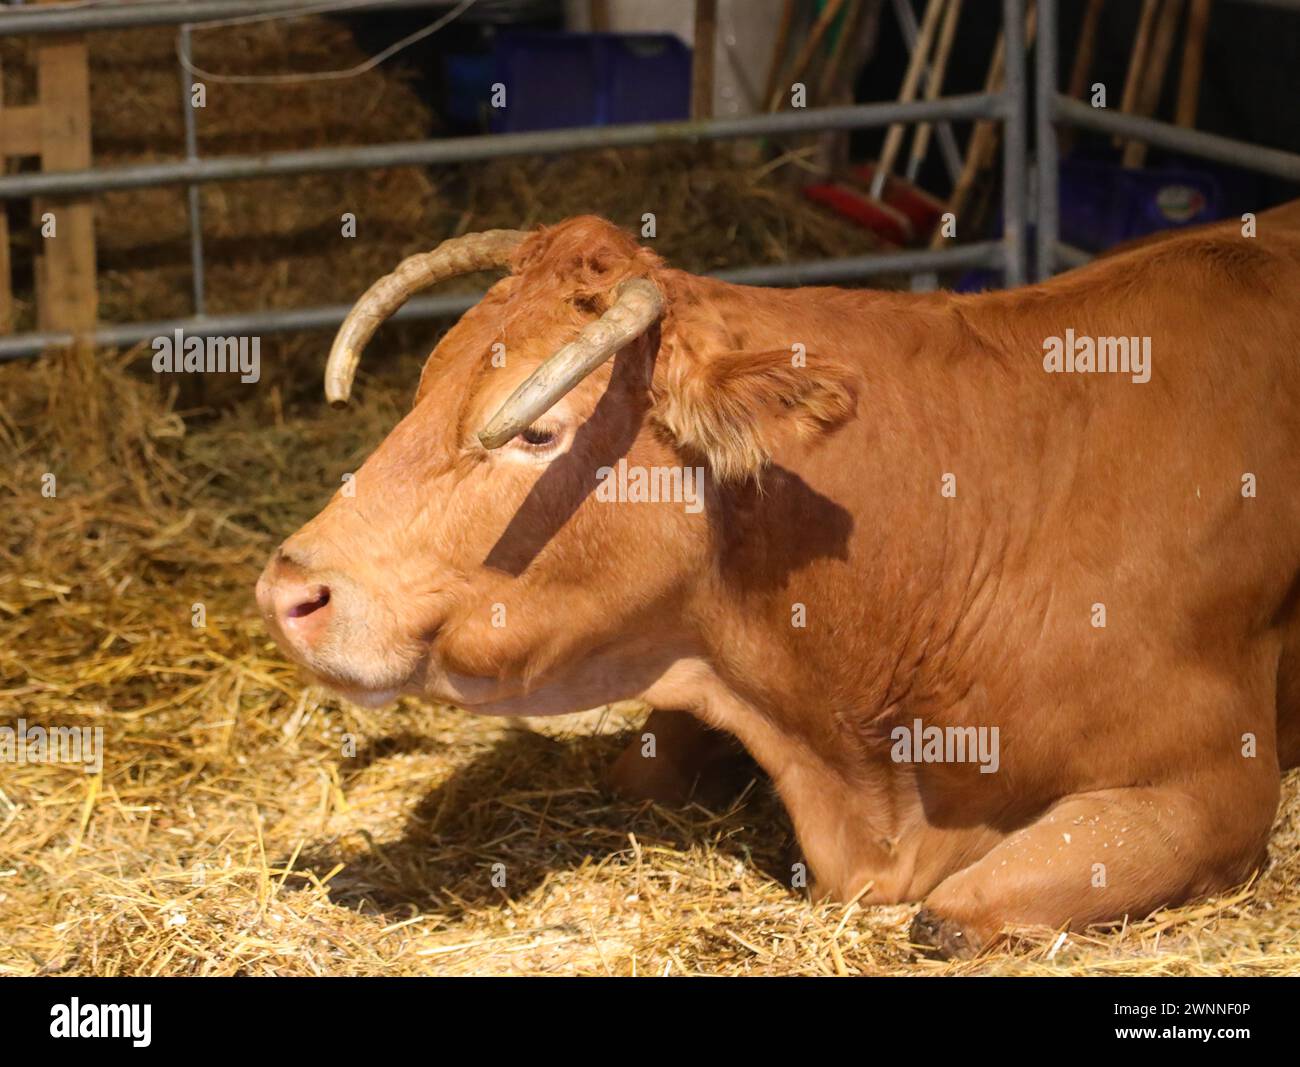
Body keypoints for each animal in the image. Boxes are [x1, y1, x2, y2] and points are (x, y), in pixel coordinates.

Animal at [256, 206, 1300, 957]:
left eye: (538, 431)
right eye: (426, 383)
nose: (288, 592)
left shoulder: (1214, 783)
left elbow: (949, 914)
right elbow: (640, 765)